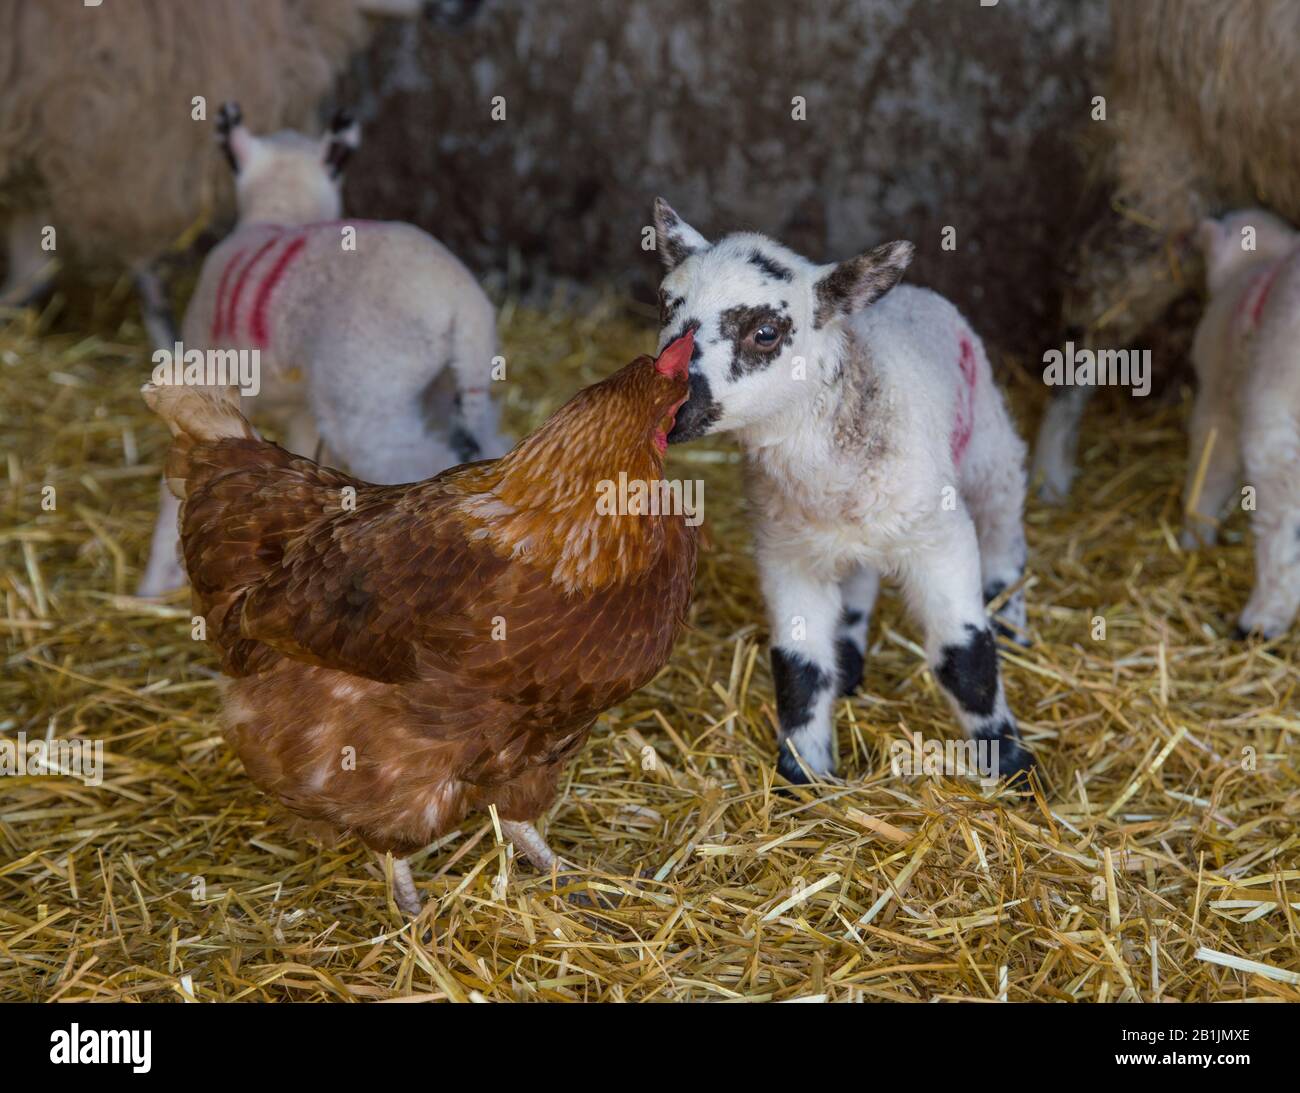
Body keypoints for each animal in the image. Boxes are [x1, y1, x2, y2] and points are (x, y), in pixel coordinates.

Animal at [137, 104, 505, 596]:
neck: (281, 210)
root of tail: (459, 306)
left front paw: (152, 584)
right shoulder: (302, 411)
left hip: (366, 393)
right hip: (457, 387)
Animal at [653, 199, 1034, 784]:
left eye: (766, 332)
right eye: (665, 305)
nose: (665, 400)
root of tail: (910, 291)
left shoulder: (940, 539)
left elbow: (964, 655)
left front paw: (1011, 765)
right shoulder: (786, 551)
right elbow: (799, 664)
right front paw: (803, 775)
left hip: (990, 447)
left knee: (1004, 531)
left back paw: (1012, 625)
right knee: (858, 584)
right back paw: (850, 662)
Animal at [1182, 208, 1300, 639]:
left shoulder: (1217, 399)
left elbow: (1210, 470)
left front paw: (1192, 536)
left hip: (1274, 419)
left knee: (1283, 527)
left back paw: (1262, 618)